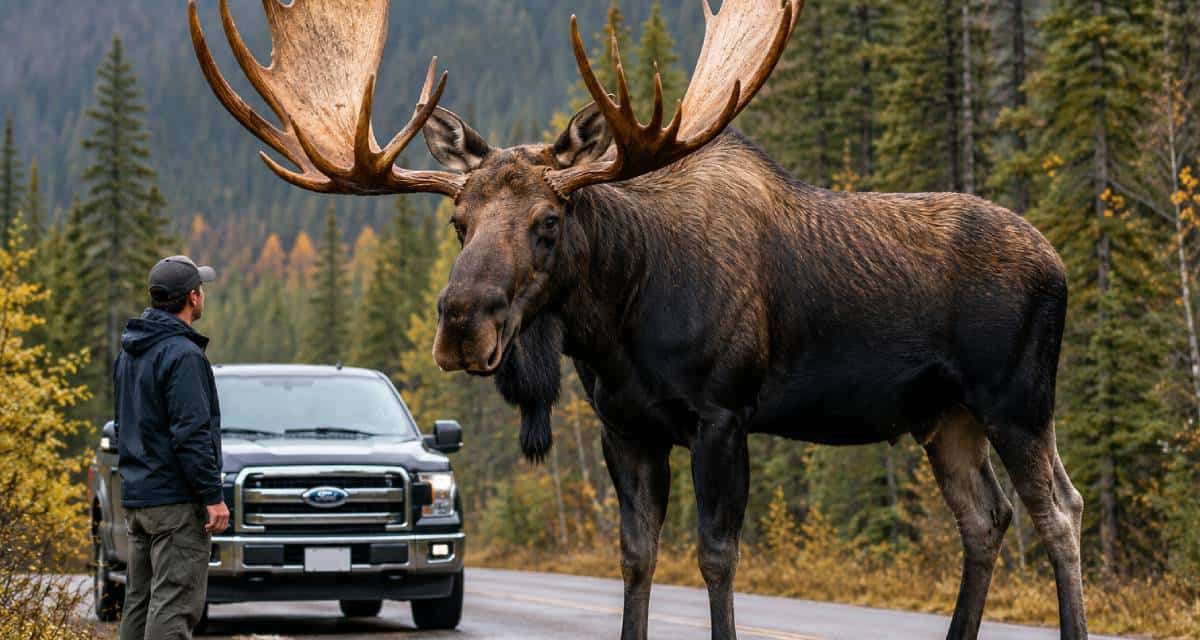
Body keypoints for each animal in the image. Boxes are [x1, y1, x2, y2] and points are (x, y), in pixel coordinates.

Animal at [188, 1, 1088, 638]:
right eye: (458, 222)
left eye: (549, 222)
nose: (462, 324)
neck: (619, 322)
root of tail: (1060, 263)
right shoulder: (627, 427)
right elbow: (637, 558)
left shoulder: (723, 415)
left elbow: (717, 559)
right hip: (944, 418)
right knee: (986, 520)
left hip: (1017, 401)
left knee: (1059, 512)